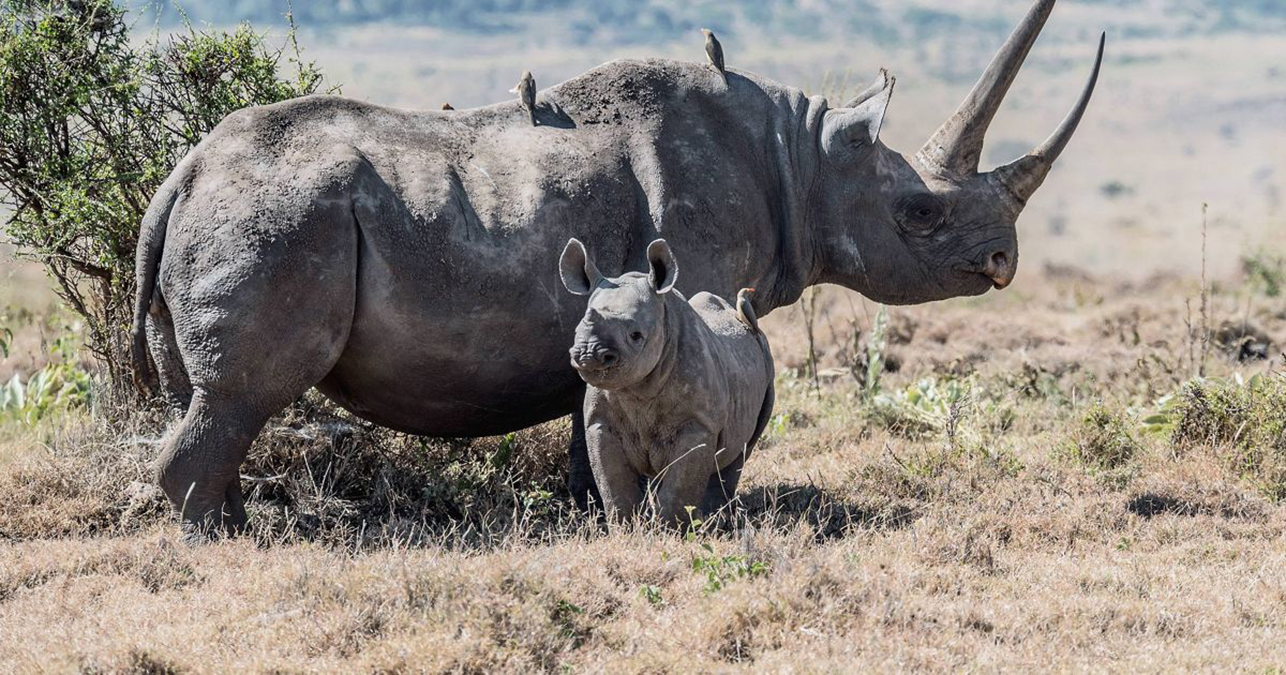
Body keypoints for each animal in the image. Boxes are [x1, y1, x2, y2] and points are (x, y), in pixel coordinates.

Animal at [560, 238, 774, 524]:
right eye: (576, 331)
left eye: (636, 335)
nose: (588, 354)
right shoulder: (600, 422)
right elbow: (614, 485)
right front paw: (625, 527)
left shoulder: (699, 424)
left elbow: (678, 488)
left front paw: (670, 529)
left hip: (766, 366)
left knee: (739, 452)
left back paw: (714, 521)